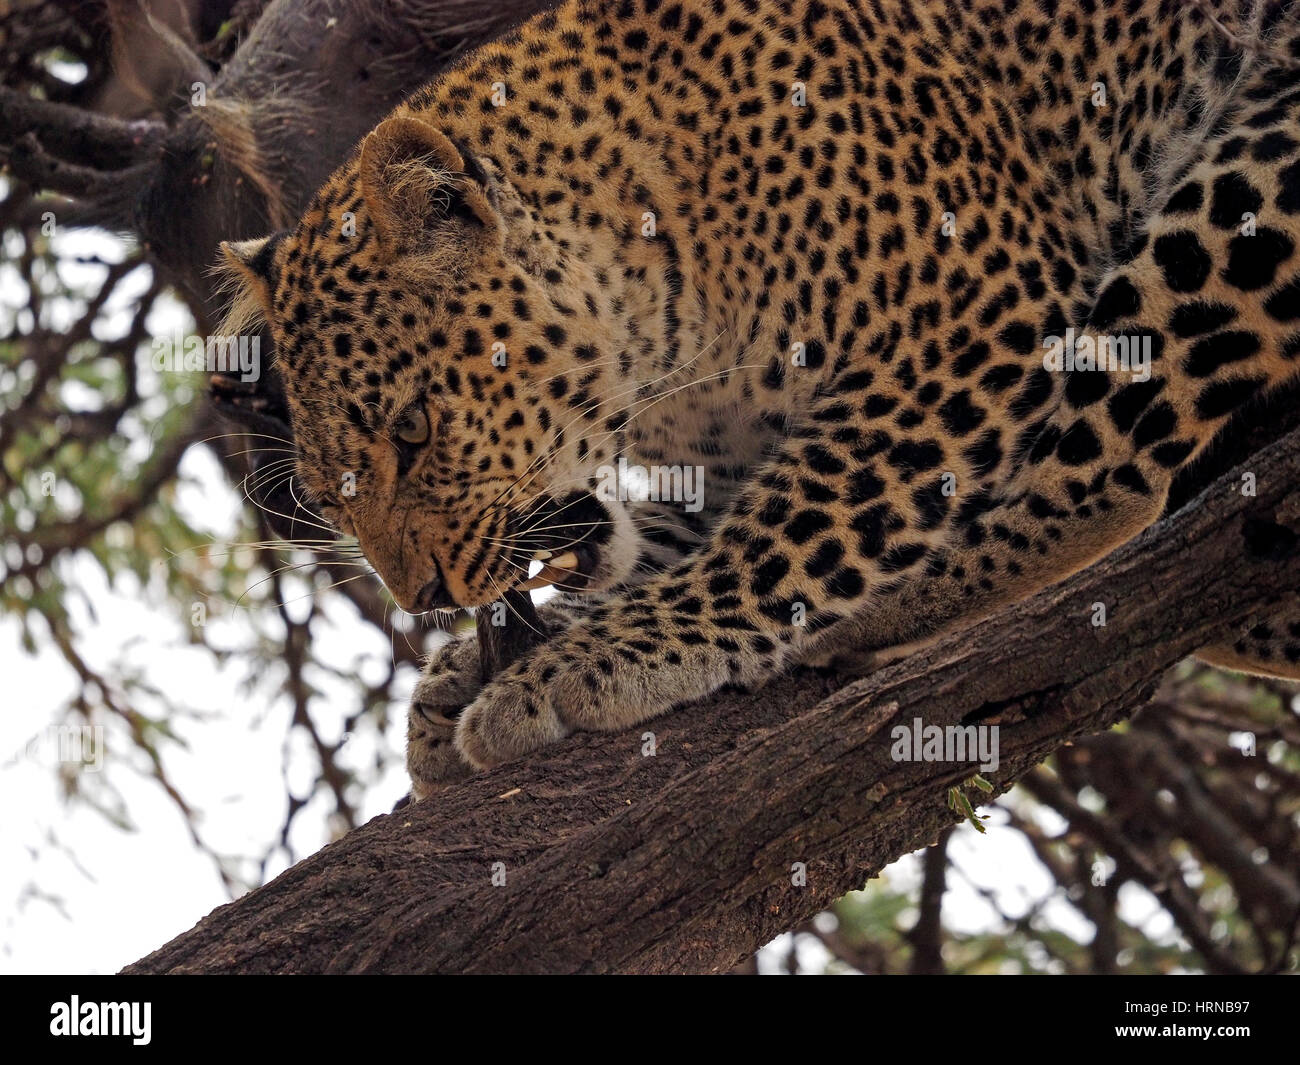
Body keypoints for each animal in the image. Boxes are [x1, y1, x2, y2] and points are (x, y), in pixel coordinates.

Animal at [219, 0, 1300, 801]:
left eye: (411, 429)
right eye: (327, 490)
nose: (426, 598)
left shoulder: (966, 308)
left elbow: (801, 526)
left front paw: (592, 661)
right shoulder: (718, 447)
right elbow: (673, 531)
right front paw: (475, 670)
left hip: (1252, 181)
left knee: (1106, 472)